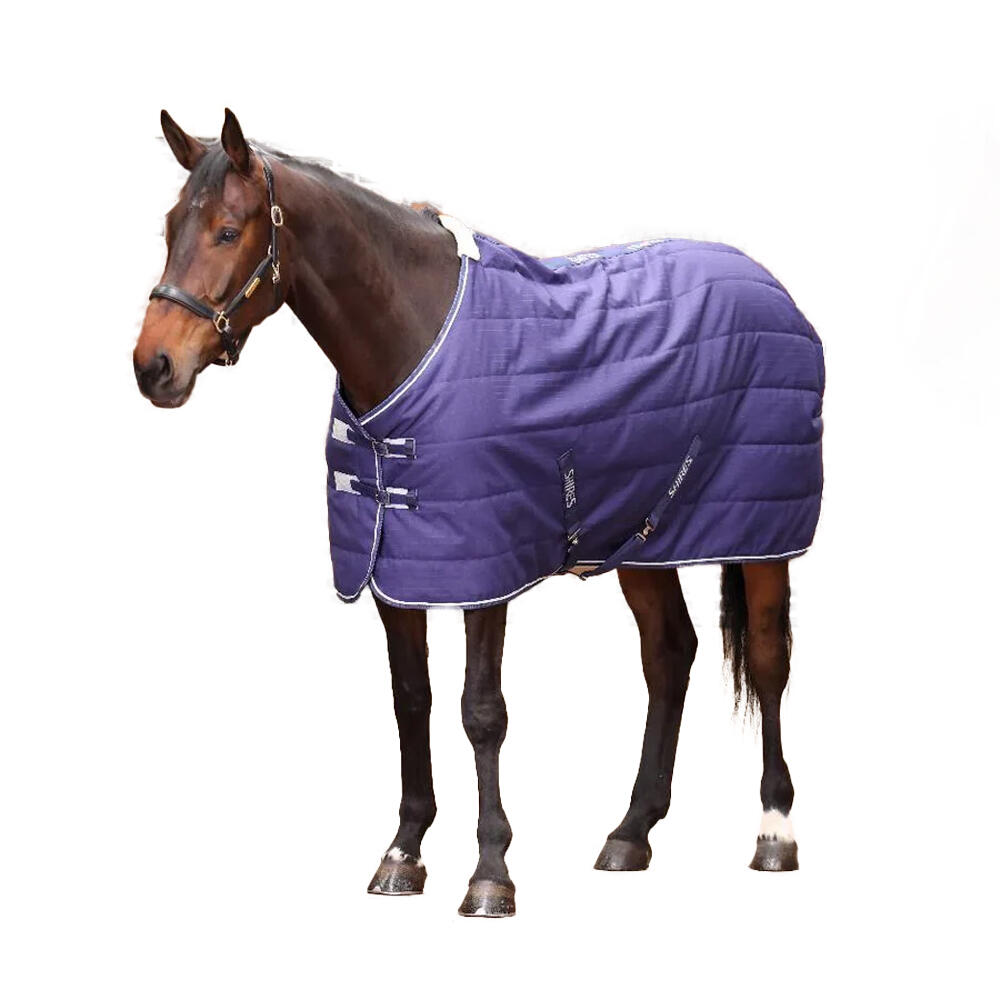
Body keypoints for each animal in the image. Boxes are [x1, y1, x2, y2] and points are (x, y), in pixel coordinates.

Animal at [134, 109, 824, 918]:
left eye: (228, 229)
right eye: (170, 225)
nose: (154, 366)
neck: (412, 337)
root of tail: (772, 288)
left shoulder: (484, 570)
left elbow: (480, 711)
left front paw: (490, 872)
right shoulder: (398, 568)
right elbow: (412, 701)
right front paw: (403, 853)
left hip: (762, 535)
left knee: (769, 660)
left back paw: (774, 832)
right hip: (645, 539)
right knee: (669, 656)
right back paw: (631, 833)